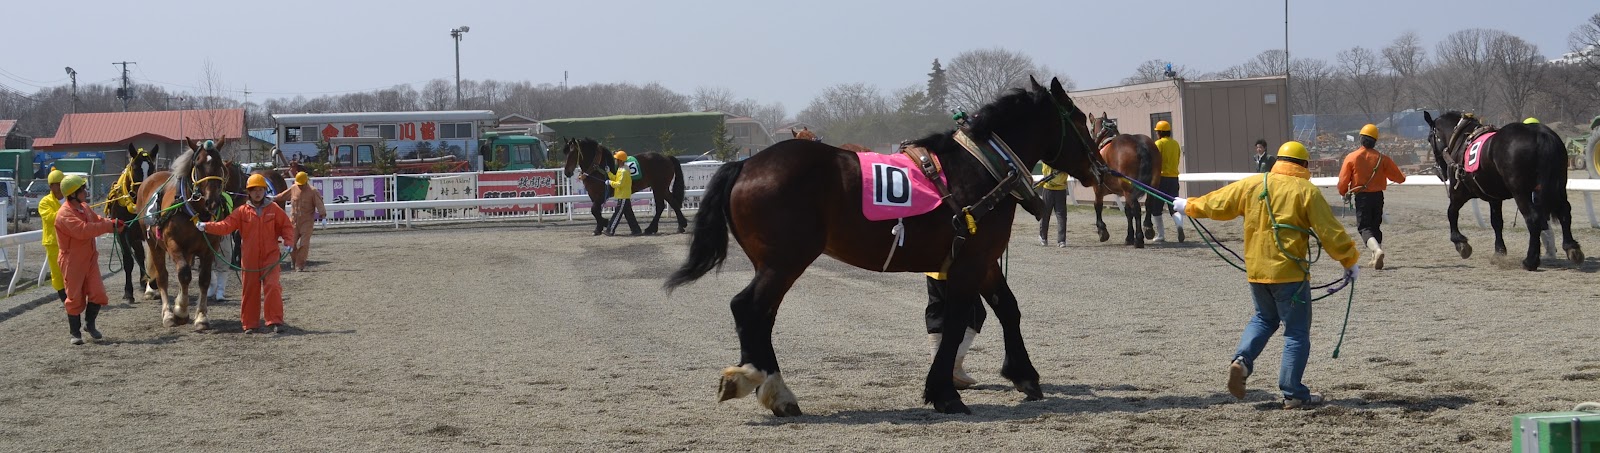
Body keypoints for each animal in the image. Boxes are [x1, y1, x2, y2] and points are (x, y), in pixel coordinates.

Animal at [104, 144, 159, 303]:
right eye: (135, 168)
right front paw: (128, 292)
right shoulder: (123, 233)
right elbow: (128, 261)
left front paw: (152, 287)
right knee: (139, 254)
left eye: (152, 169)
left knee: (141, 255)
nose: (146, 191)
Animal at [135, 137, 233, 330]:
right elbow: (184, 273)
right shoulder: (173, 243)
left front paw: (201, 317)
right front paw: (180, 311)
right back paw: (168, 314)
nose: (212, 202)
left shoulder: (210, 247)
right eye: (198, 164)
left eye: (219, 164)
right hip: (154, 244)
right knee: (163, 277)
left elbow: (204, 278)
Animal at [664, 76, 1107, 415]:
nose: (1098, 168)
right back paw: (766, 386)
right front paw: (944, 392)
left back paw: (768, 387)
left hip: (775, 264)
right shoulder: (969, 263)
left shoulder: (983, 261)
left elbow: (1007, 309)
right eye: (1078, 119)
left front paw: (1024, 375)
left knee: (761, 315)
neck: (981, 168)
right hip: (785, 262)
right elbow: (955, 323)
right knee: (749, 308)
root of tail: (746, 164)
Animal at [1087, 113, 1162, 248]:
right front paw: (1129, 236)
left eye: (1091, 129)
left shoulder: (1098, 189)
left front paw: (1102, 231)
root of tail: (1139, 144)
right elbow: (1128, 212)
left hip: (1129, 189)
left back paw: (1139, 238)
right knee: (1148, 204)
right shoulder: (1124, 192)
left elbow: (1098, 206)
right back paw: (1148, 228)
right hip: (1151, 184)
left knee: (1137, 209)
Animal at [1423, 111, 1583, 270]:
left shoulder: (1459, 192)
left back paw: (1530, 260)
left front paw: (1460, 242)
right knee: (1564, 211)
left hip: (1521, 192)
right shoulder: (1494, 197)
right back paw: (1571, 247)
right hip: (1559, 186)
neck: (1462, 139)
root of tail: (1539, 134)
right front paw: (1499, 251)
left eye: (1429, 138)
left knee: (1533, 218)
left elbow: (1451, 212)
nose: (1440, 171)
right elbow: (1496, 222)